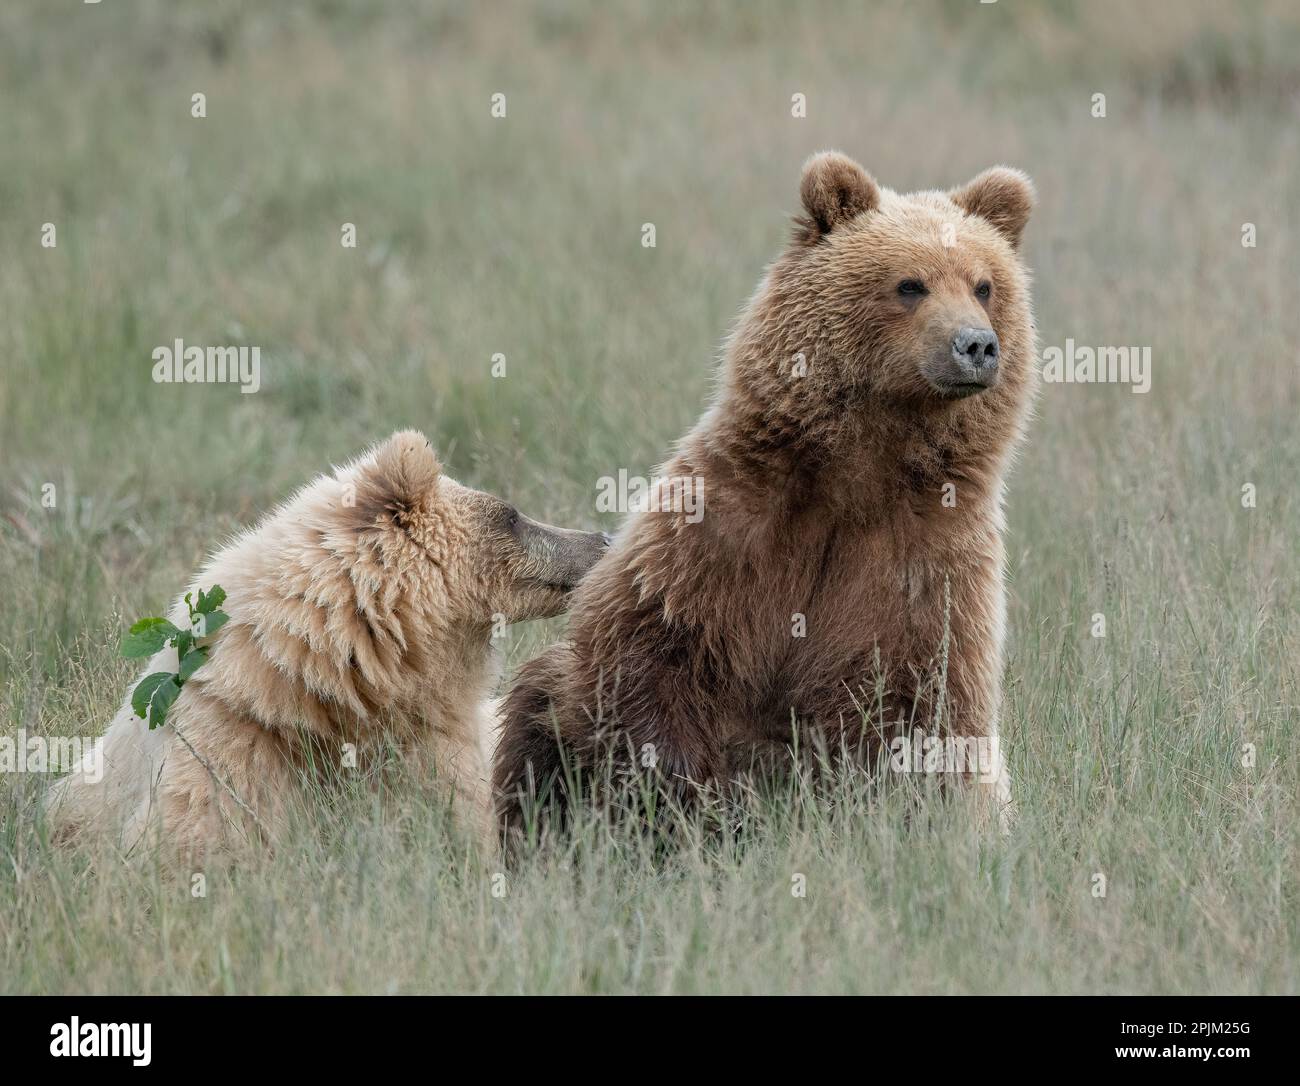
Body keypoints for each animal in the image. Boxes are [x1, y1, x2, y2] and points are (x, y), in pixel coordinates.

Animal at [494, 152, 1036, 834]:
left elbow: (916, 706)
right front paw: (681, 803)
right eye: (911, 284)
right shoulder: (728, 526)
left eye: (985, 285)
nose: (976, 345)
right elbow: (654, 655)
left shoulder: (926, 561)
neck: (862, 469)